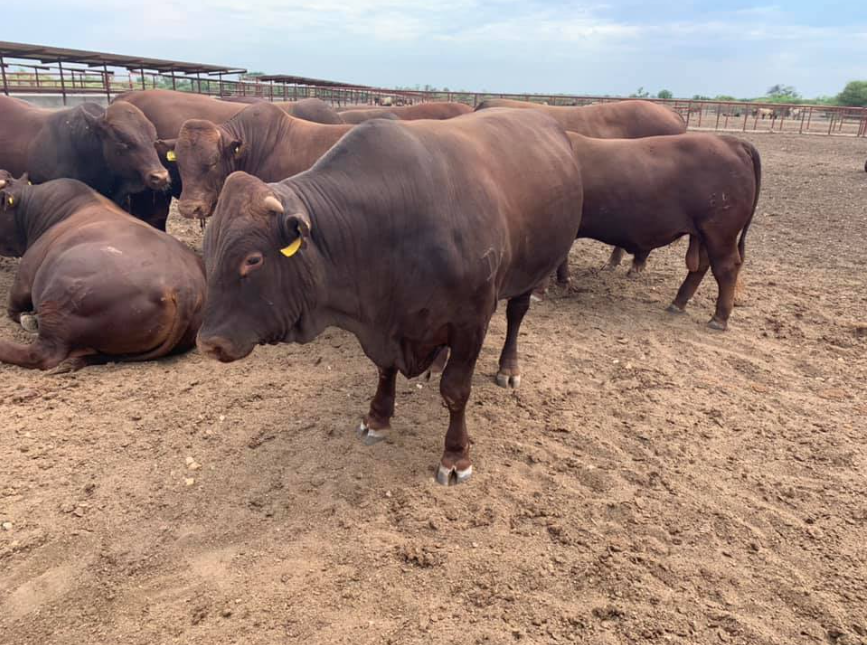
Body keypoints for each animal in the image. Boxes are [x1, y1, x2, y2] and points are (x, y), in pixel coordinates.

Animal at [195, 109, 584, 485]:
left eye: (253, 259)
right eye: (208, 250)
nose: (207, 343)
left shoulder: (471, 322)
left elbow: (456, 390)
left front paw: (455, 456)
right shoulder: (384, 322)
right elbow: (384, 369)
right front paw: (378, 417)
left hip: (533, 270)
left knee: (517, 313)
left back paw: (508, 367)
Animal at [561, 132, 761, 330]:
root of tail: (732, 142)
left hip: (719, 233)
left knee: (725, 268)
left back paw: (718, 319)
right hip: (704, 235)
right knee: (701, 266)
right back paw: (678, 303)